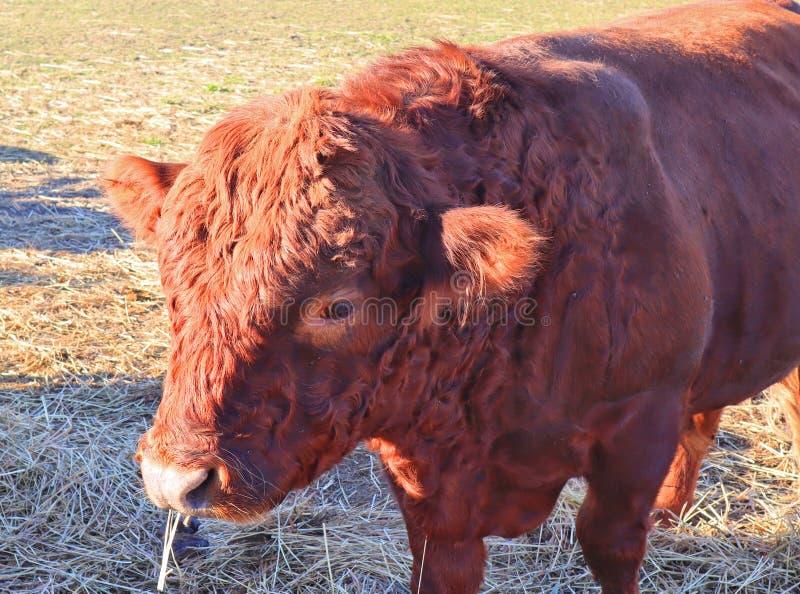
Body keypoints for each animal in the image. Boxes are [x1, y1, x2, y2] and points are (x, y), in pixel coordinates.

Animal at [102, 1, 800, 592]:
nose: (174, 479)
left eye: (338, 305)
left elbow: (611, 546)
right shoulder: (430, 487)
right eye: (171, 287)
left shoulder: (640, 424)